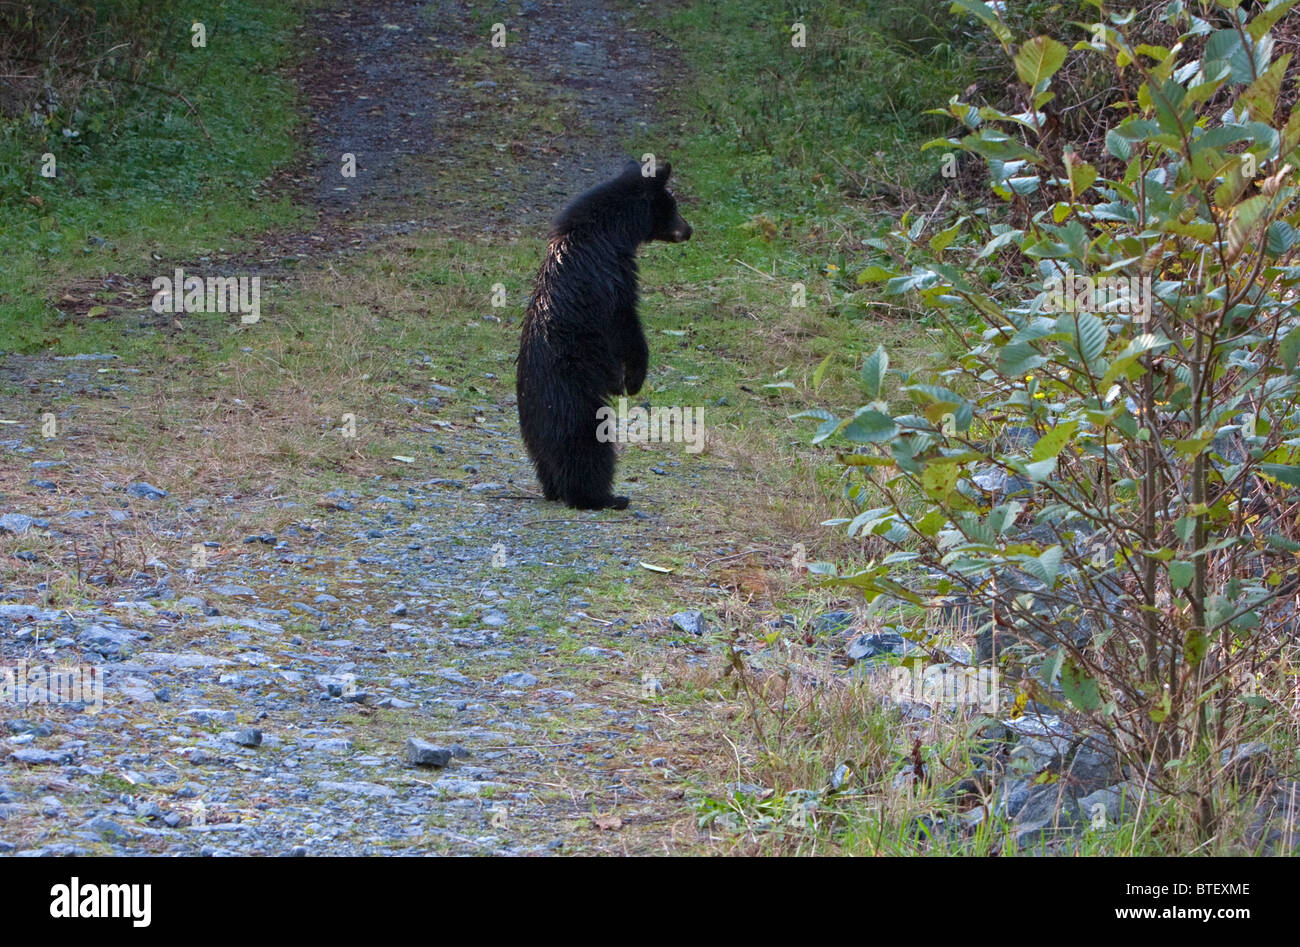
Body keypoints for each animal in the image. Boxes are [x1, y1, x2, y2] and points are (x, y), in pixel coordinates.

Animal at [516, 159, 691, 510]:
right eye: (673, 206)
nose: (689, 230)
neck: (609, 229)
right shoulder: (613, 274)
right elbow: (626, 324)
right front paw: (634, 378)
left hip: (533, 425)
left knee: (544, 456)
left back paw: (554, 488)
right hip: (577, 402)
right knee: (589, 451)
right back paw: (603, 496)